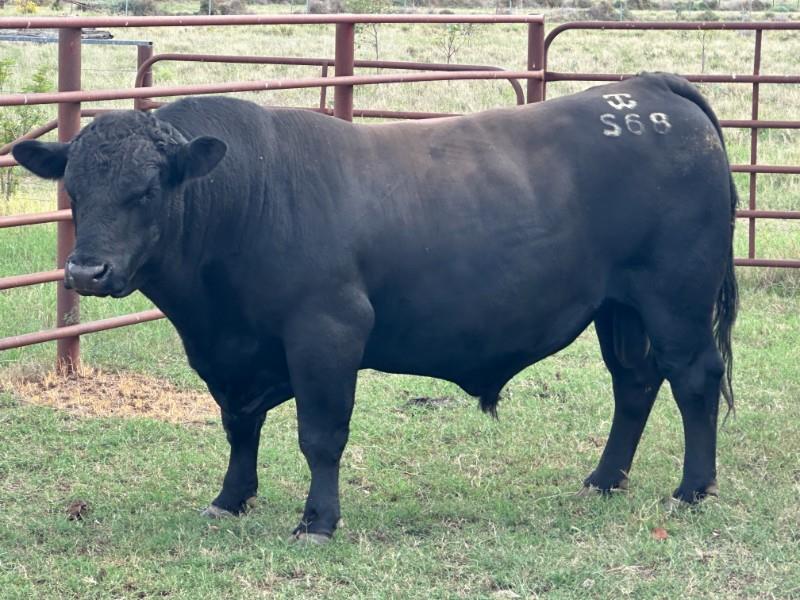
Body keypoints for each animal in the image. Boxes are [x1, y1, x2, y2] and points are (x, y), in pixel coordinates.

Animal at [13, 73, 738, 544]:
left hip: (675, 296)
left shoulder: (326, 331)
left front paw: (317, 521)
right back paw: (604, 479)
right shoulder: (231, 354)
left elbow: (320, 434)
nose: (86, 270)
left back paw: (693, 488)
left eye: (145, 190)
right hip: (620, 307)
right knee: (635, 384)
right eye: (74, 190)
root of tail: (647, 91)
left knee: (694, 378)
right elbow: (239, 426)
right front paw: (230, 499)